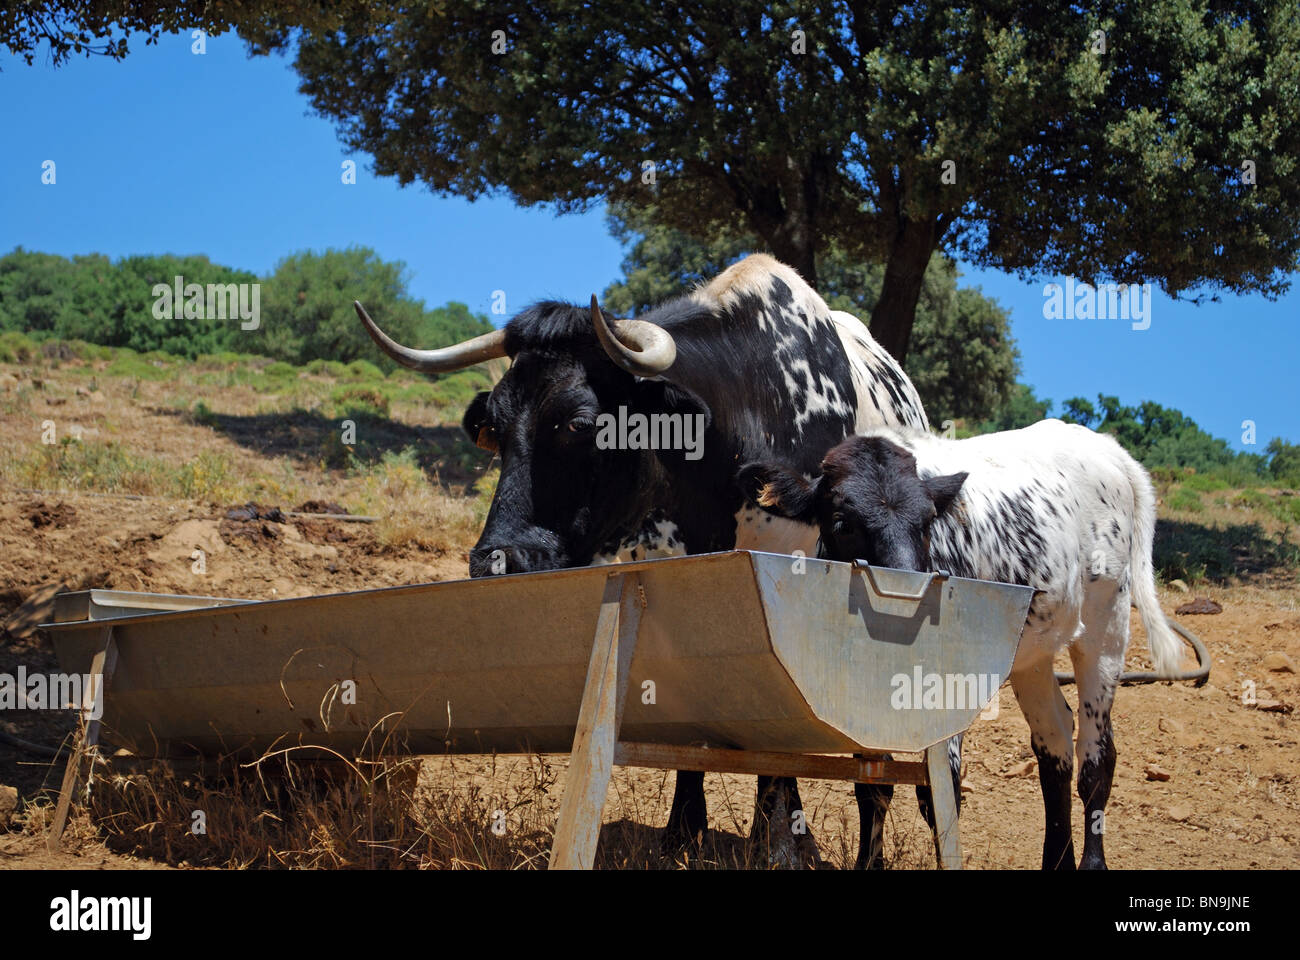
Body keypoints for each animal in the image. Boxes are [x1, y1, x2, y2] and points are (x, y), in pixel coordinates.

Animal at [736, 418, 1186, 869]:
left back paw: (1092, 860)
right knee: (1055, 741)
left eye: (927, 521)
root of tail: (1108, 448)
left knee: (1097, 758)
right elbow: (873, 786)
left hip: (1106, 623)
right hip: (1033, 654)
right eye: (843, 523)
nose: (907, 589)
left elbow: (940, 794)